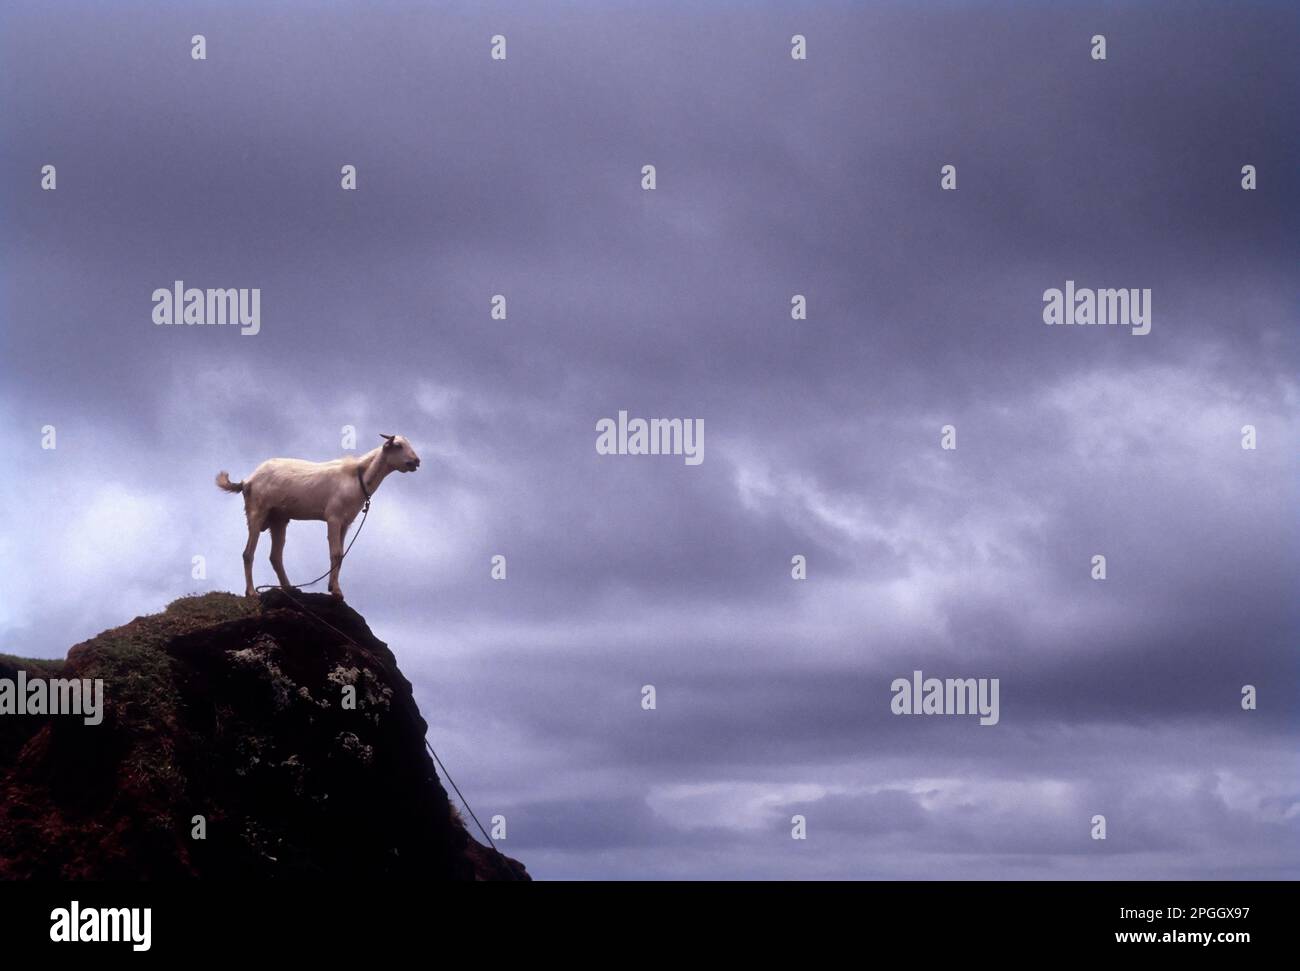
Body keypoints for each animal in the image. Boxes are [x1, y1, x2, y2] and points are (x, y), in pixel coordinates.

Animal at [216, 434, 421, 600]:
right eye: (398, 445)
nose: (416, 461)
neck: (357, 478)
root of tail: (247, 481)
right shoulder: (334, 518)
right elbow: (335, 553)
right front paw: (336, 591)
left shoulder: (345, 523)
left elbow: (340, 555)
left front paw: (332, 587)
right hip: (257, 512)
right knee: (248, 553)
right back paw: (251, 592)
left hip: (278, 520)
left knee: (275, 556)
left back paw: (289, 588)